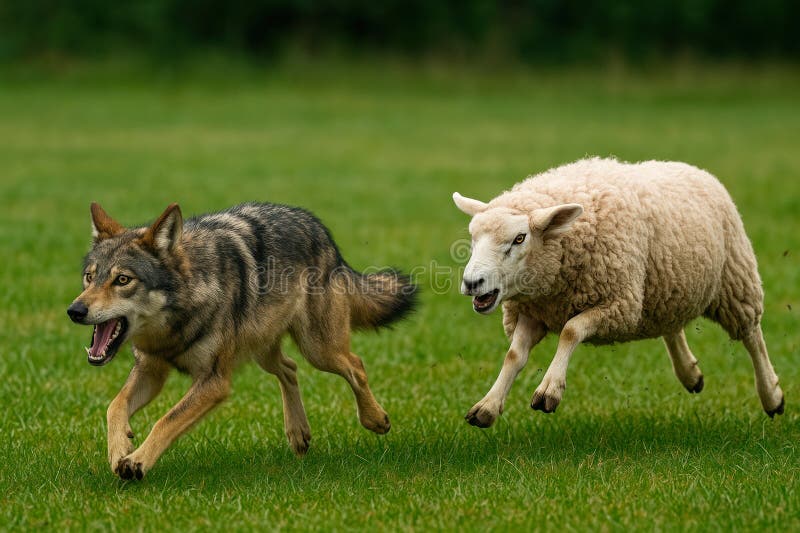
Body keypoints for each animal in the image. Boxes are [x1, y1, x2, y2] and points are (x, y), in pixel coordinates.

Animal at [67, 201, 417, 480]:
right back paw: (298, 434)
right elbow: (115, 406)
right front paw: (119, 450)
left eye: (122, 280)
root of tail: (318, 227)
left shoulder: (214, 382)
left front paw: (136, 461)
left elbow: (167, 420)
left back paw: (375, 420)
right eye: (89, 277)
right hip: (265, 350)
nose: (75, 310)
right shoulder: (151, 370)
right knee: (290, 369)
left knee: (356, 366)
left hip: (319, 350)